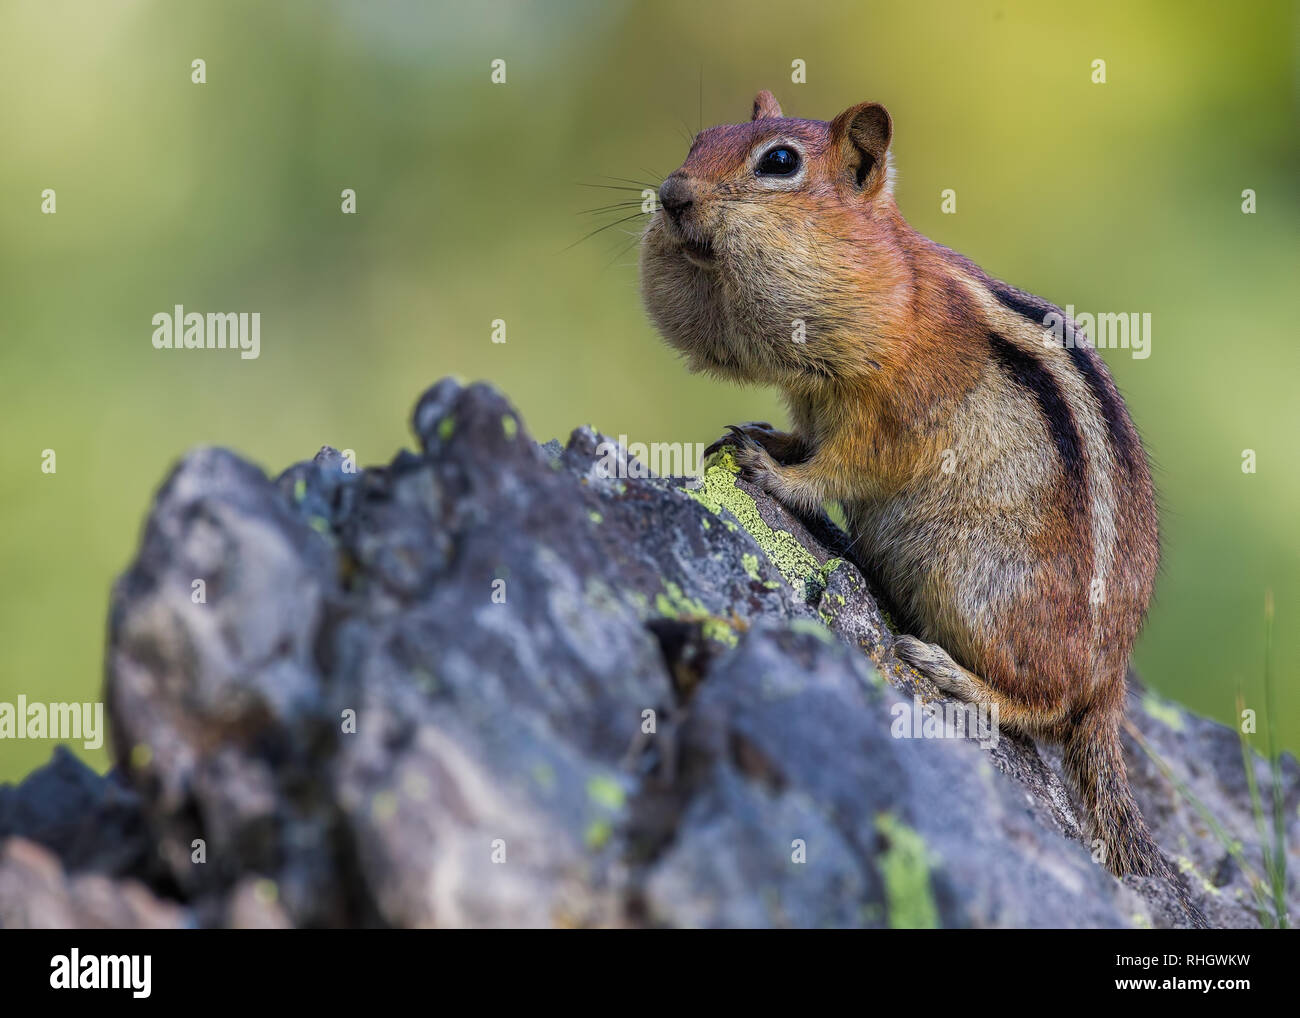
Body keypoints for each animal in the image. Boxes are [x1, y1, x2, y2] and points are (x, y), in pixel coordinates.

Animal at [640, 90, 1205, 924]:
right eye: (697, 139)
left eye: (779, 162)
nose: (672, 195)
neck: (891, 286)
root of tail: (1111, 684)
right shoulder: (814, 398)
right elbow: (806, 436)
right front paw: (765, 438)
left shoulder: (894, 411)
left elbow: (846, 465)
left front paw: (777, 476)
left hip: (973, 583)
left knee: (1041, 708)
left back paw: (948, 670)